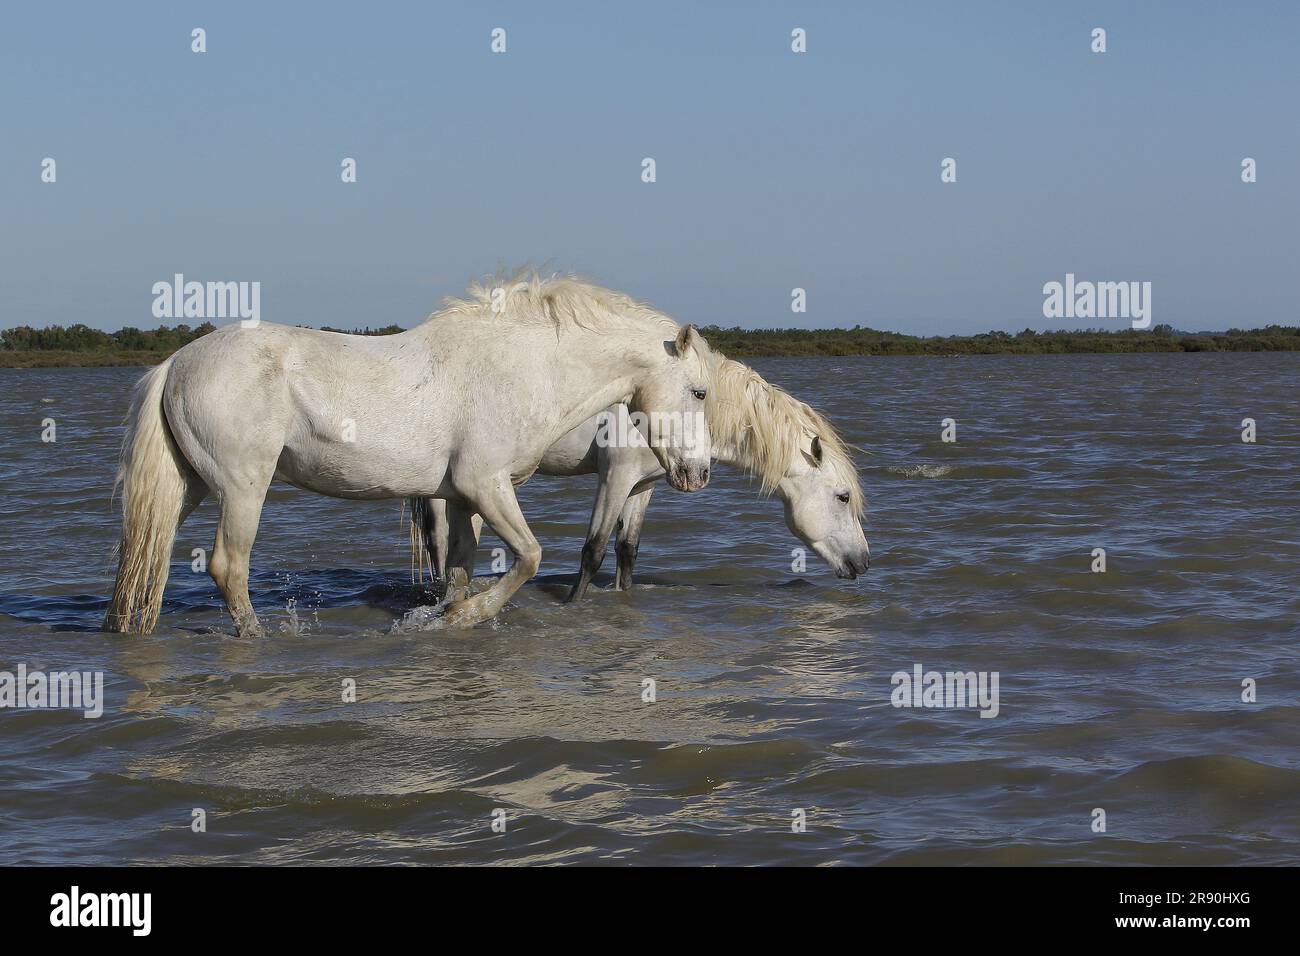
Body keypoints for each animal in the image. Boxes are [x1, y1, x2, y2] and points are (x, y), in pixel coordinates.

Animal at [104, 272, 714, 635]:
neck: (523, 367)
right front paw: (468, 615)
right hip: (242, 487)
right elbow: (529, 556)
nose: (699, 473)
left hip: (190, 486)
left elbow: (461, 567)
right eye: (701, 392)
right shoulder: (486, 484)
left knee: (145, 555)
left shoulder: (461, 497)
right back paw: (256, 635)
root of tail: (175, 363)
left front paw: (444, 615)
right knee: (228, 566)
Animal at [409, 356, 869, 601]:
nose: (863, 562)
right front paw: (572, 605)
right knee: (440, 545)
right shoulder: (615, 477)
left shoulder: (643, 486)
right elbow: (593, 551)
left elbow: (627, 550)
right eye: (843, 497)